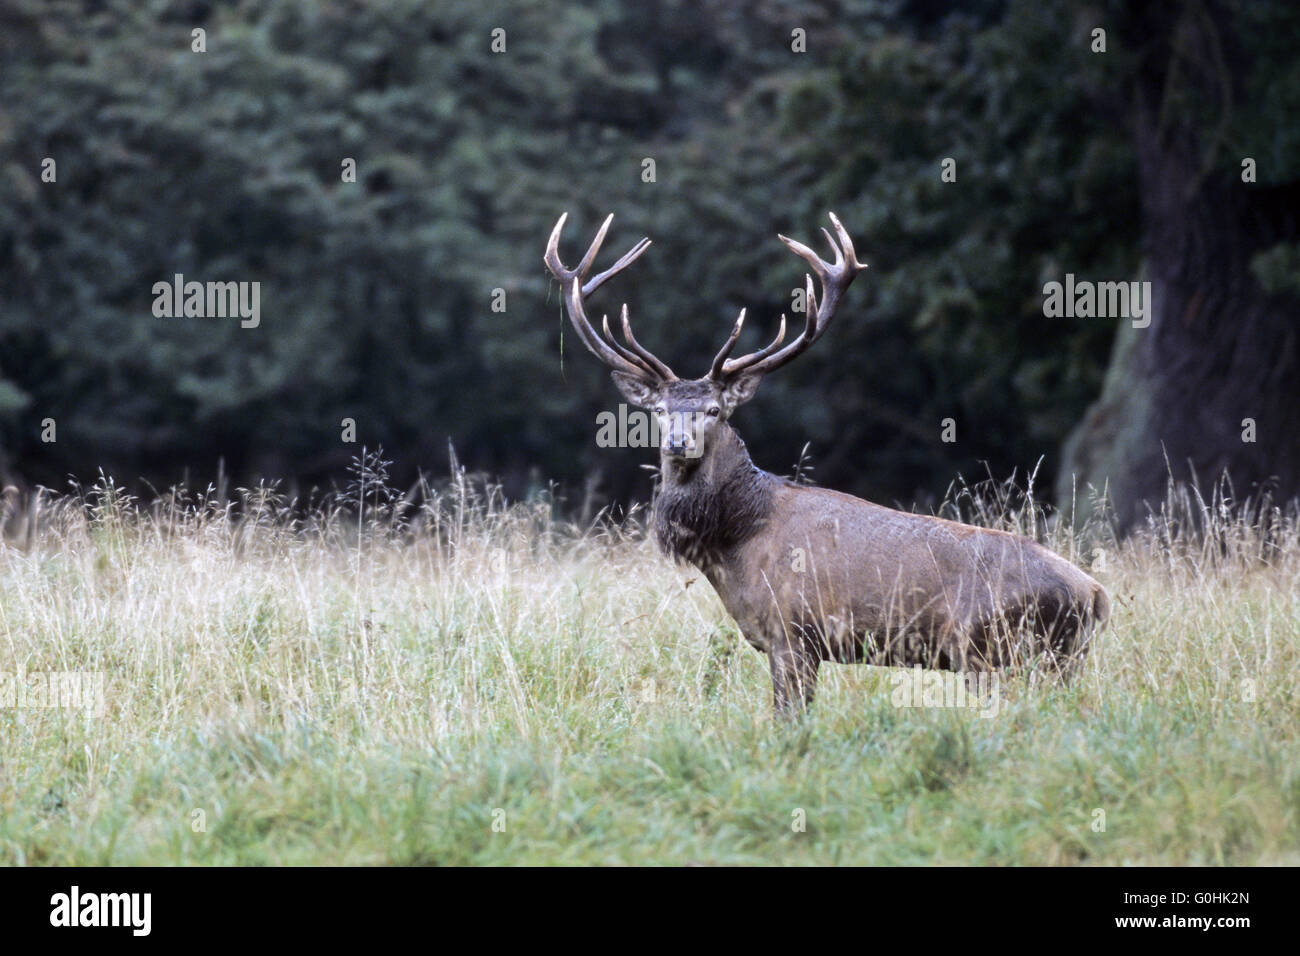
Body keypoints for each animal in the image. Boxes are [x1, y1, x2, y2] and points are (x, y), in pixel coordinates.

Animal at [545, 211, 1110, 715]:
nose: (680, 443)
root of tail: (1095, 594)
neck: (736, 544)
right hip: (1059, 660)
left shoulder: (795, 632)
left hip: (995, 649)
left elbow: (788, 718)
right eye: (660, 411)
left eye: (714, 410)